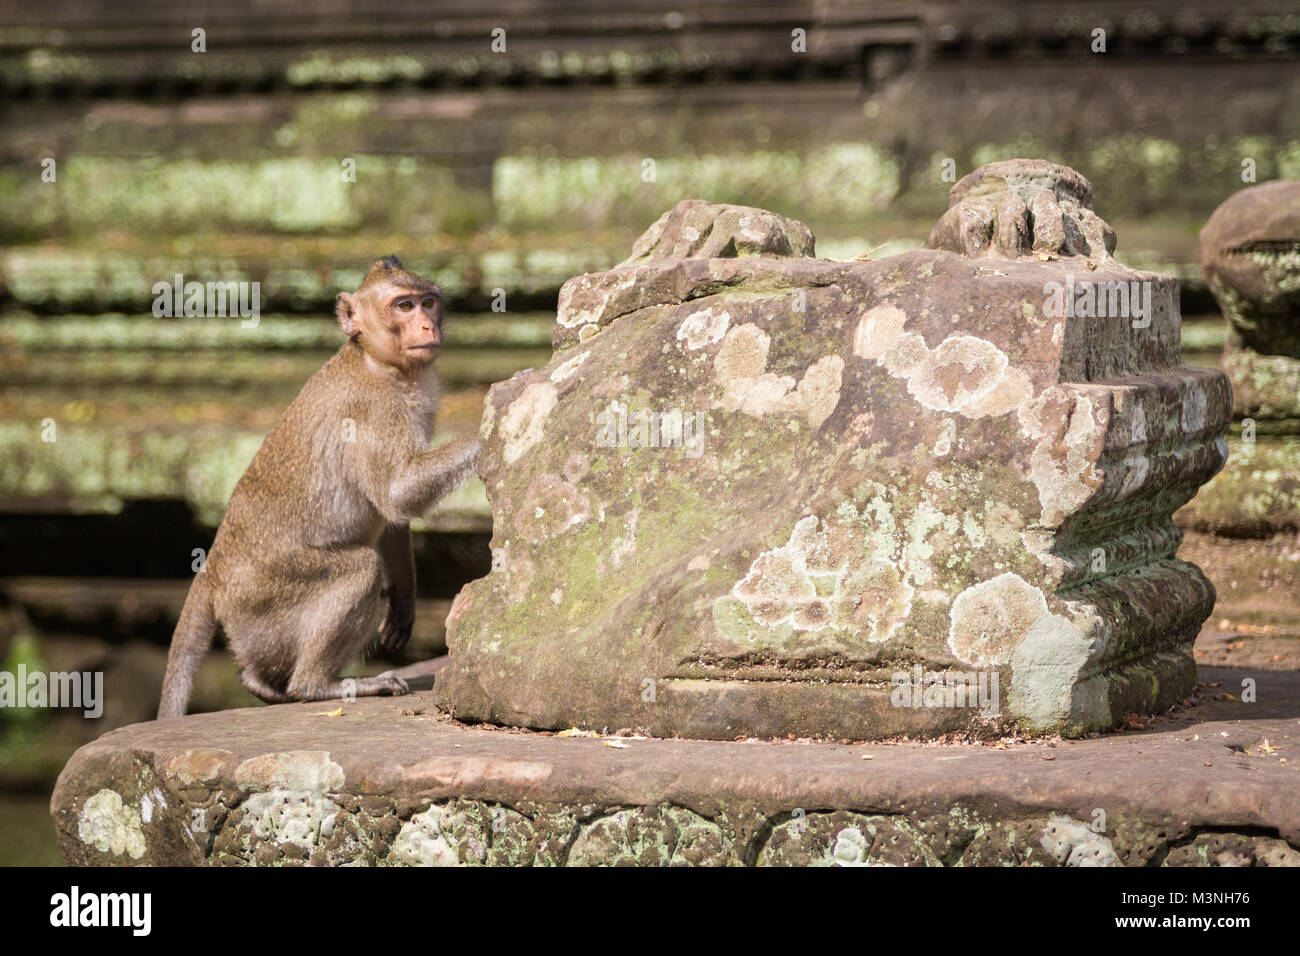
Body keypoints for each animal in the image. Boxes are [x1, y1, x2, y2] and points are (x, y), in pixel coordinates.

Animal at [157, 256, 480, 718]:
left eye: (428, 302)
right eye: (403, 305)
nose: (426, 326)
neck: (376, 362)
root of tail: (213, 570)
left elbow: (392, 513)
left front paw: (404, 599)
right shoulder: (372, 410)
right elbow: (400, 492)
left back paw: (259, 681)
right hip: (266, 592)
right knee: (360, 569)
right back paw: (318, 685)